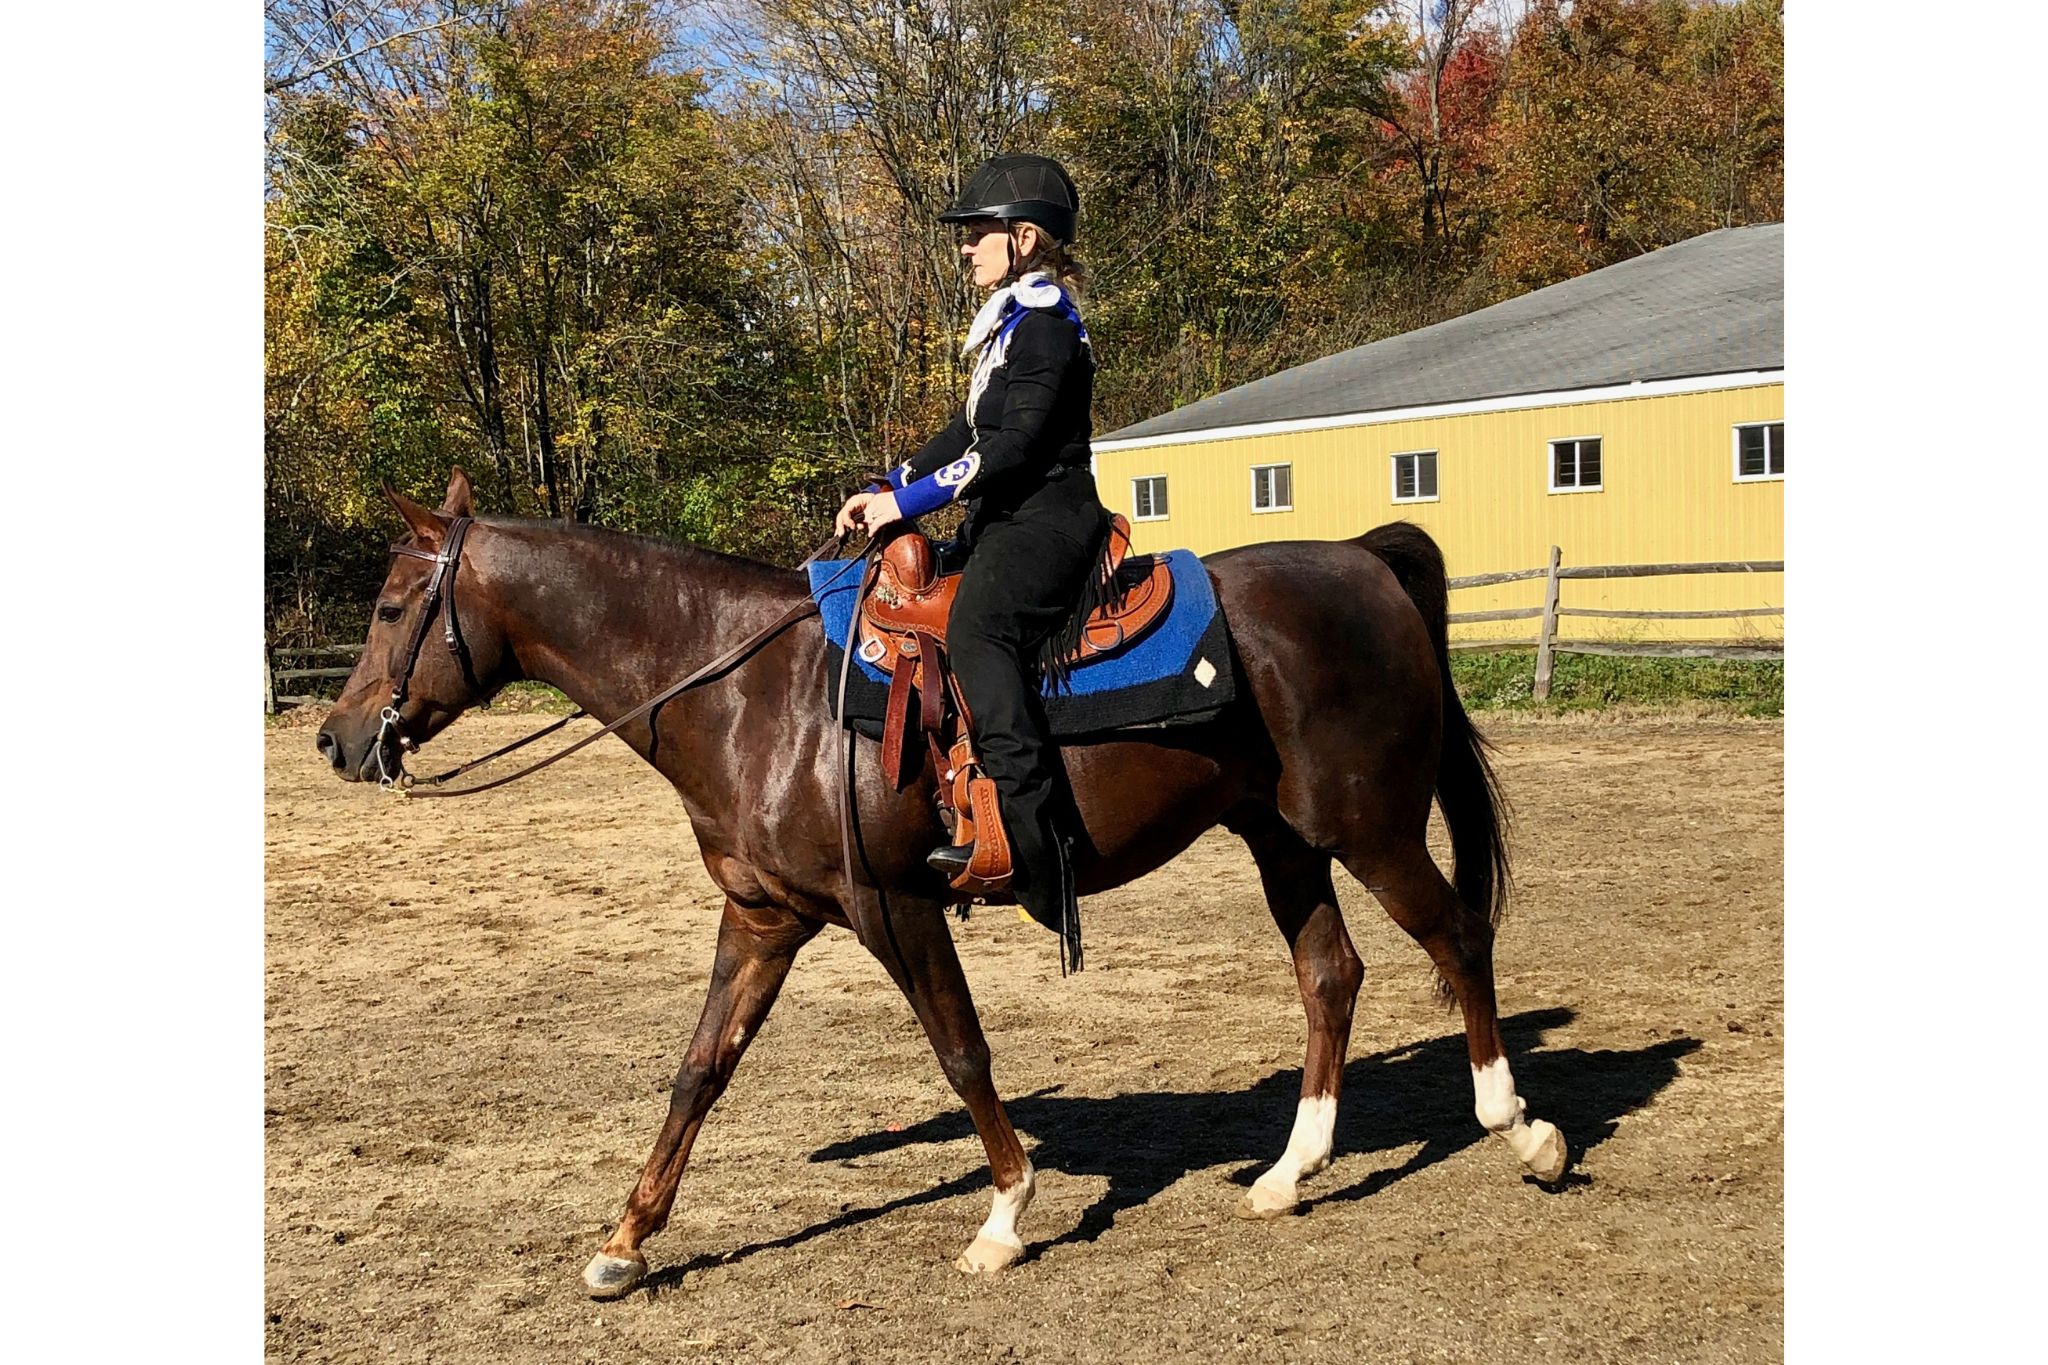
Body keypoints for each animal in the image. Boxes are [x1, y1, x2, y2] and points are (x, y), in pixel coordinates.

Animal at [315, 468, 1568, 1299]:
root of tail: (1361, 560)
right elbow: (699, 1071)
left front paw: (1005, 1218)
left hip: (1368, 827)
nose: (335, 740)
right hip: (1282, 838)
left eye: (390, 608)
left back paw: (1521, 1132)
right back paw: (1287, 1174)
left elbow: (961, 1051)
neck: (752, 693)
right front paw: (624, 1245)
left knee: (1455, 937)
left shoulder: (894, 909)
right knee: (1330, 974)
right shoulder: (762, 917)